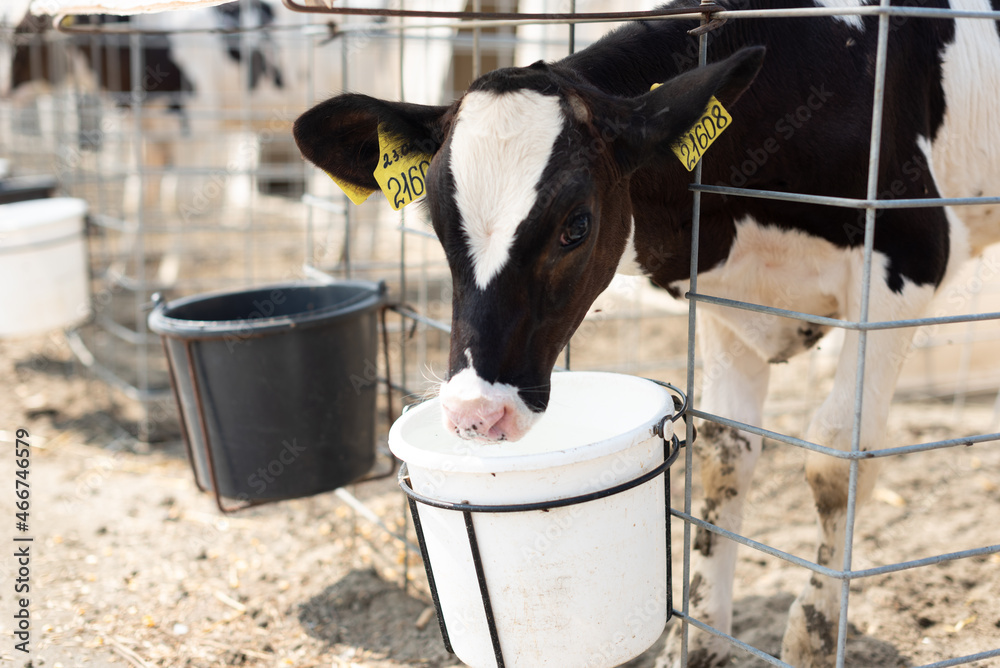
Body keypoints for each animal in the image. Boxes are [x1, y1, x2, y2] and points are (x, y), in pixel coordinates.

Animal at [292, 0, 1000, 666]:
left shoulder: (908, 260)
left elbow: (835, 459)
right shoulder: (728, 294)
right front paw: (702, 640)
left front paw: (814, 638)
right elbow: (725, 456)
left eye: (576, 225)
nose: (475, 411)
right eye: (437, 222)